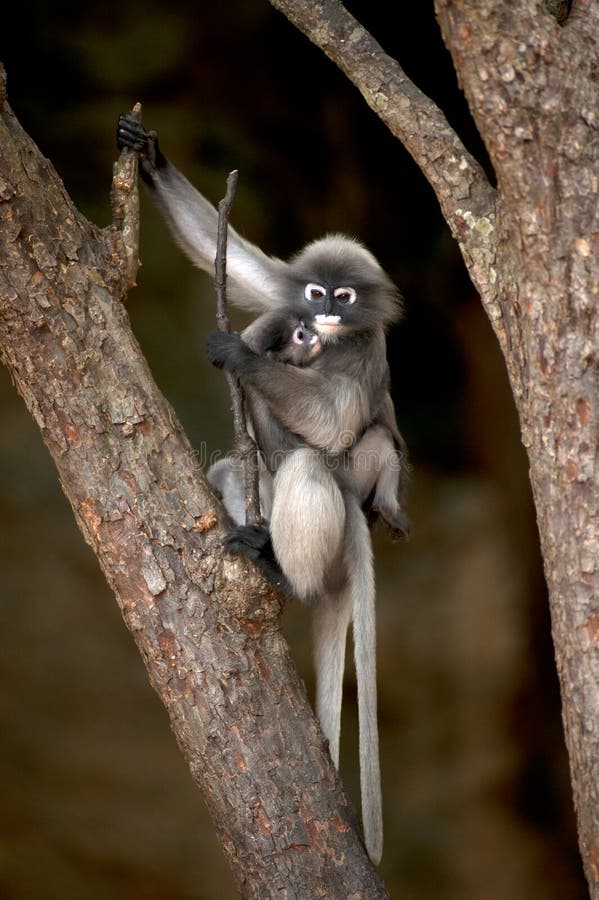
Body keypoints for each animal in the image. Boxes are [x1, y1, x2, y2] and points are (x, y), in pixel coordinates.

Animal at [117, 113, 409, 864]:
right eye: (315, 291)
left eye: (344, 298)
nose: (321, 316)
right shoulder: (284, 296)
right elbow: (246, 269)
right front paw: (149, 154)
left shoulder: (365, 349)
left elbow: (336, 421)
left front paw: (241, 356)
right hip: (263, 490)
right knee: (234, 470)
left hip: (339, 486)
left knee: (316, 463)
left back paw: (287, 573)